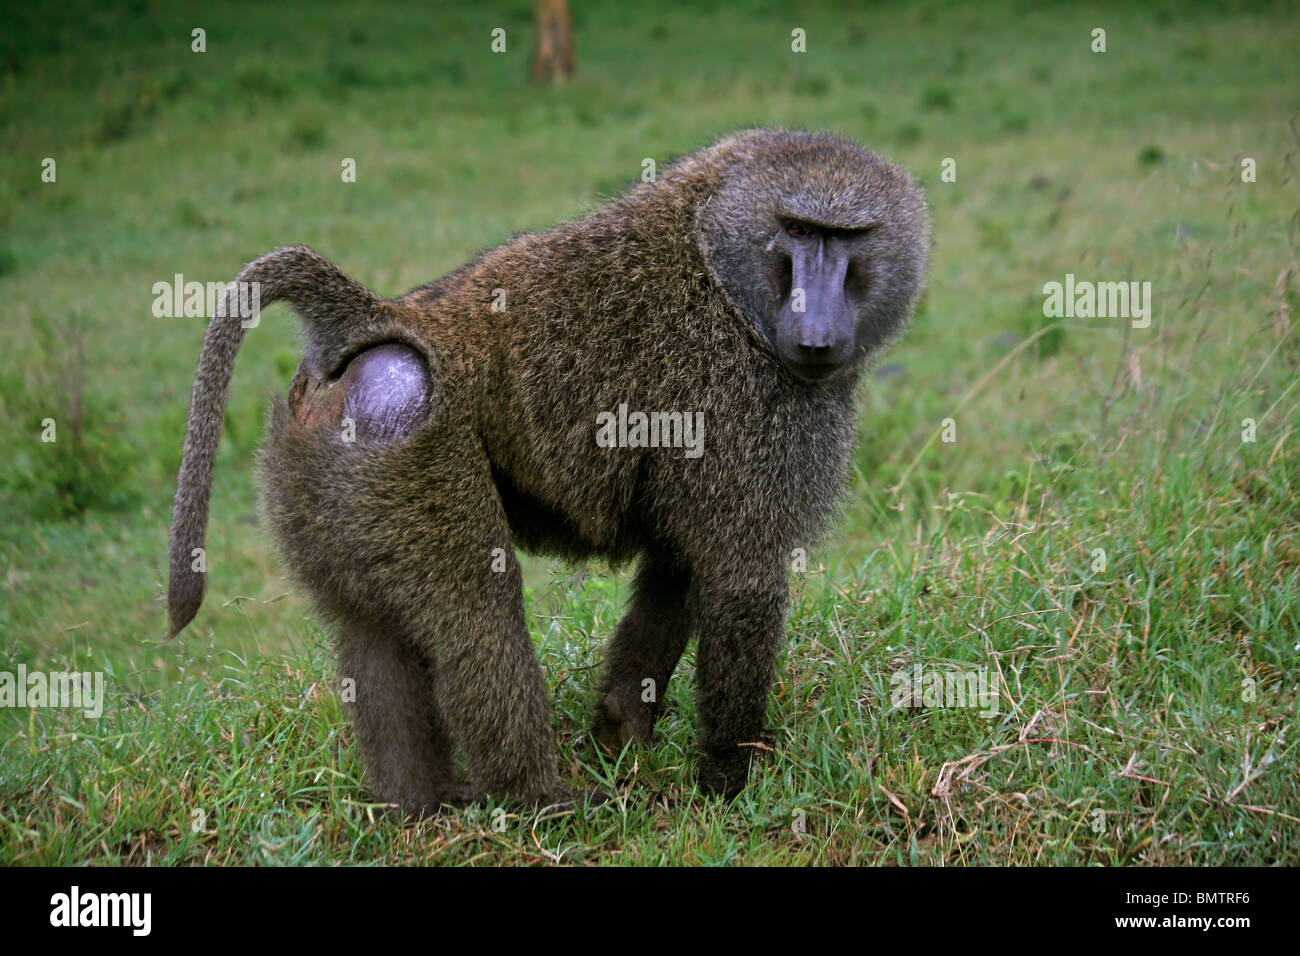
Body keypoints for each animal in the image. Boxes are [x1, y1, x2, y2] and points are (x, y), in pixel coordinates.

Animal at [165, 128, 930, 815]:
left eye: (847, 237)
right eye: (797, 231)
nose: (817, 333)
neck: (717, 258)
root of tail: (381, 319)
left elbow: (680, 570)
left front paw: (622, 734)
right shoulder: (748, 403)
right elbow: (739, 580)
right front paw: (728, 783)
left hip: (320, 468)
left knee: (370, 634)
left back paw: (420, 811)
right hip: (413, 452)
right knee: (478, 617)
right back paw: (537, 800)